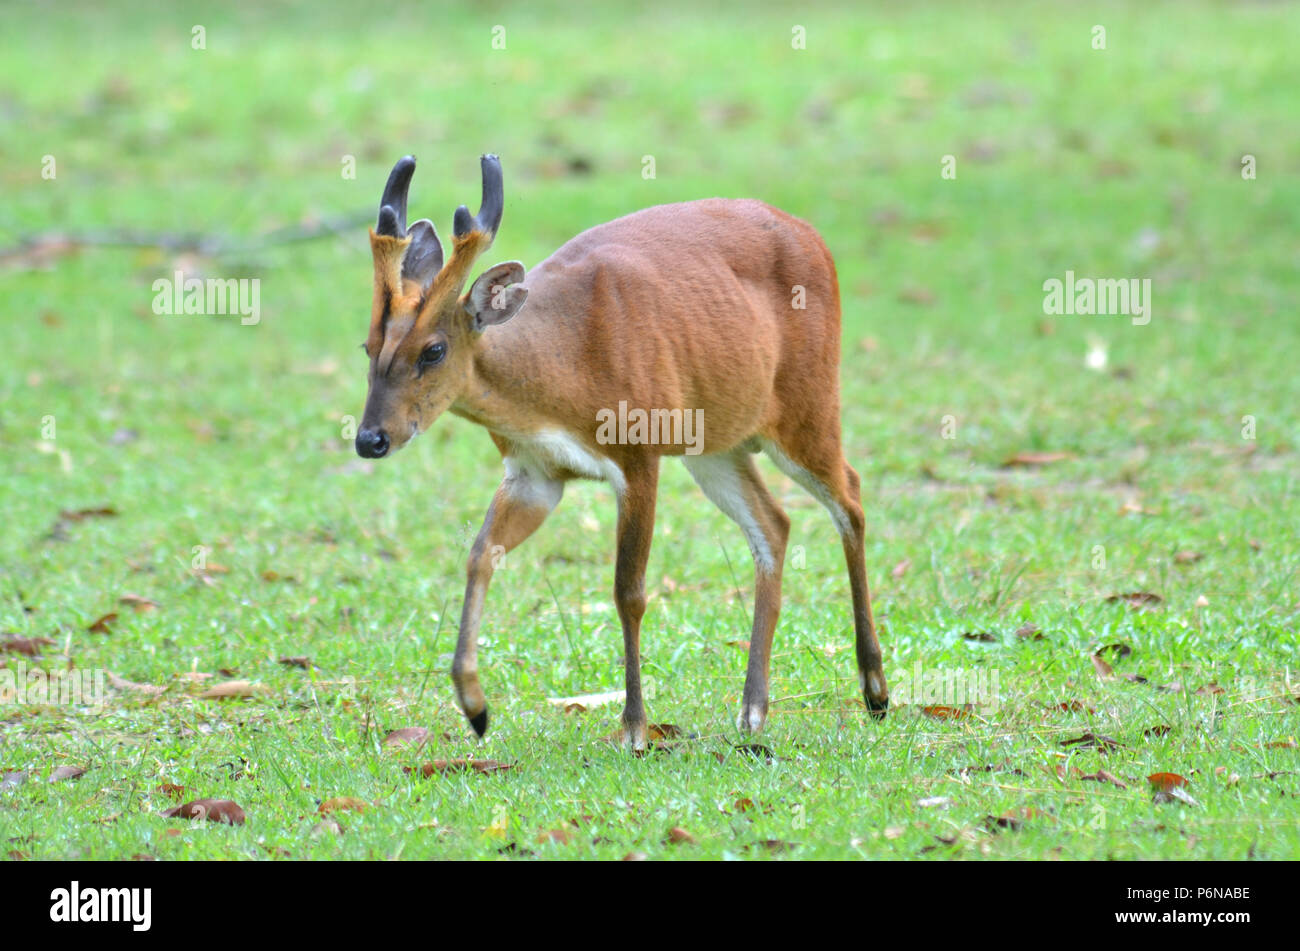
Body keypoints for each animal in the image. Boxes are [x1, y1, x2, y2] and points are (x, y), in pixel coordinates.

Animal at [355, 153, 889, 750]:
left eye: (434, 350)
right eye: (368, 346)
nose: (370, 439)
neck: (562, 375)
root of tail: (815, 237)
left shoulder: (640, 450)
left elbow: (628, 591)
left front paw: (634, 727)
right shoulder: (534, 473)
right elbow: (479, 554)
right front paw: (475, 708)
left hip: (807, 403)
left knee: (851, 496)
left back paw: (875, 691)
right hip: (716, 443)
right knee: (774, 523)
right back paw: (753, 710)